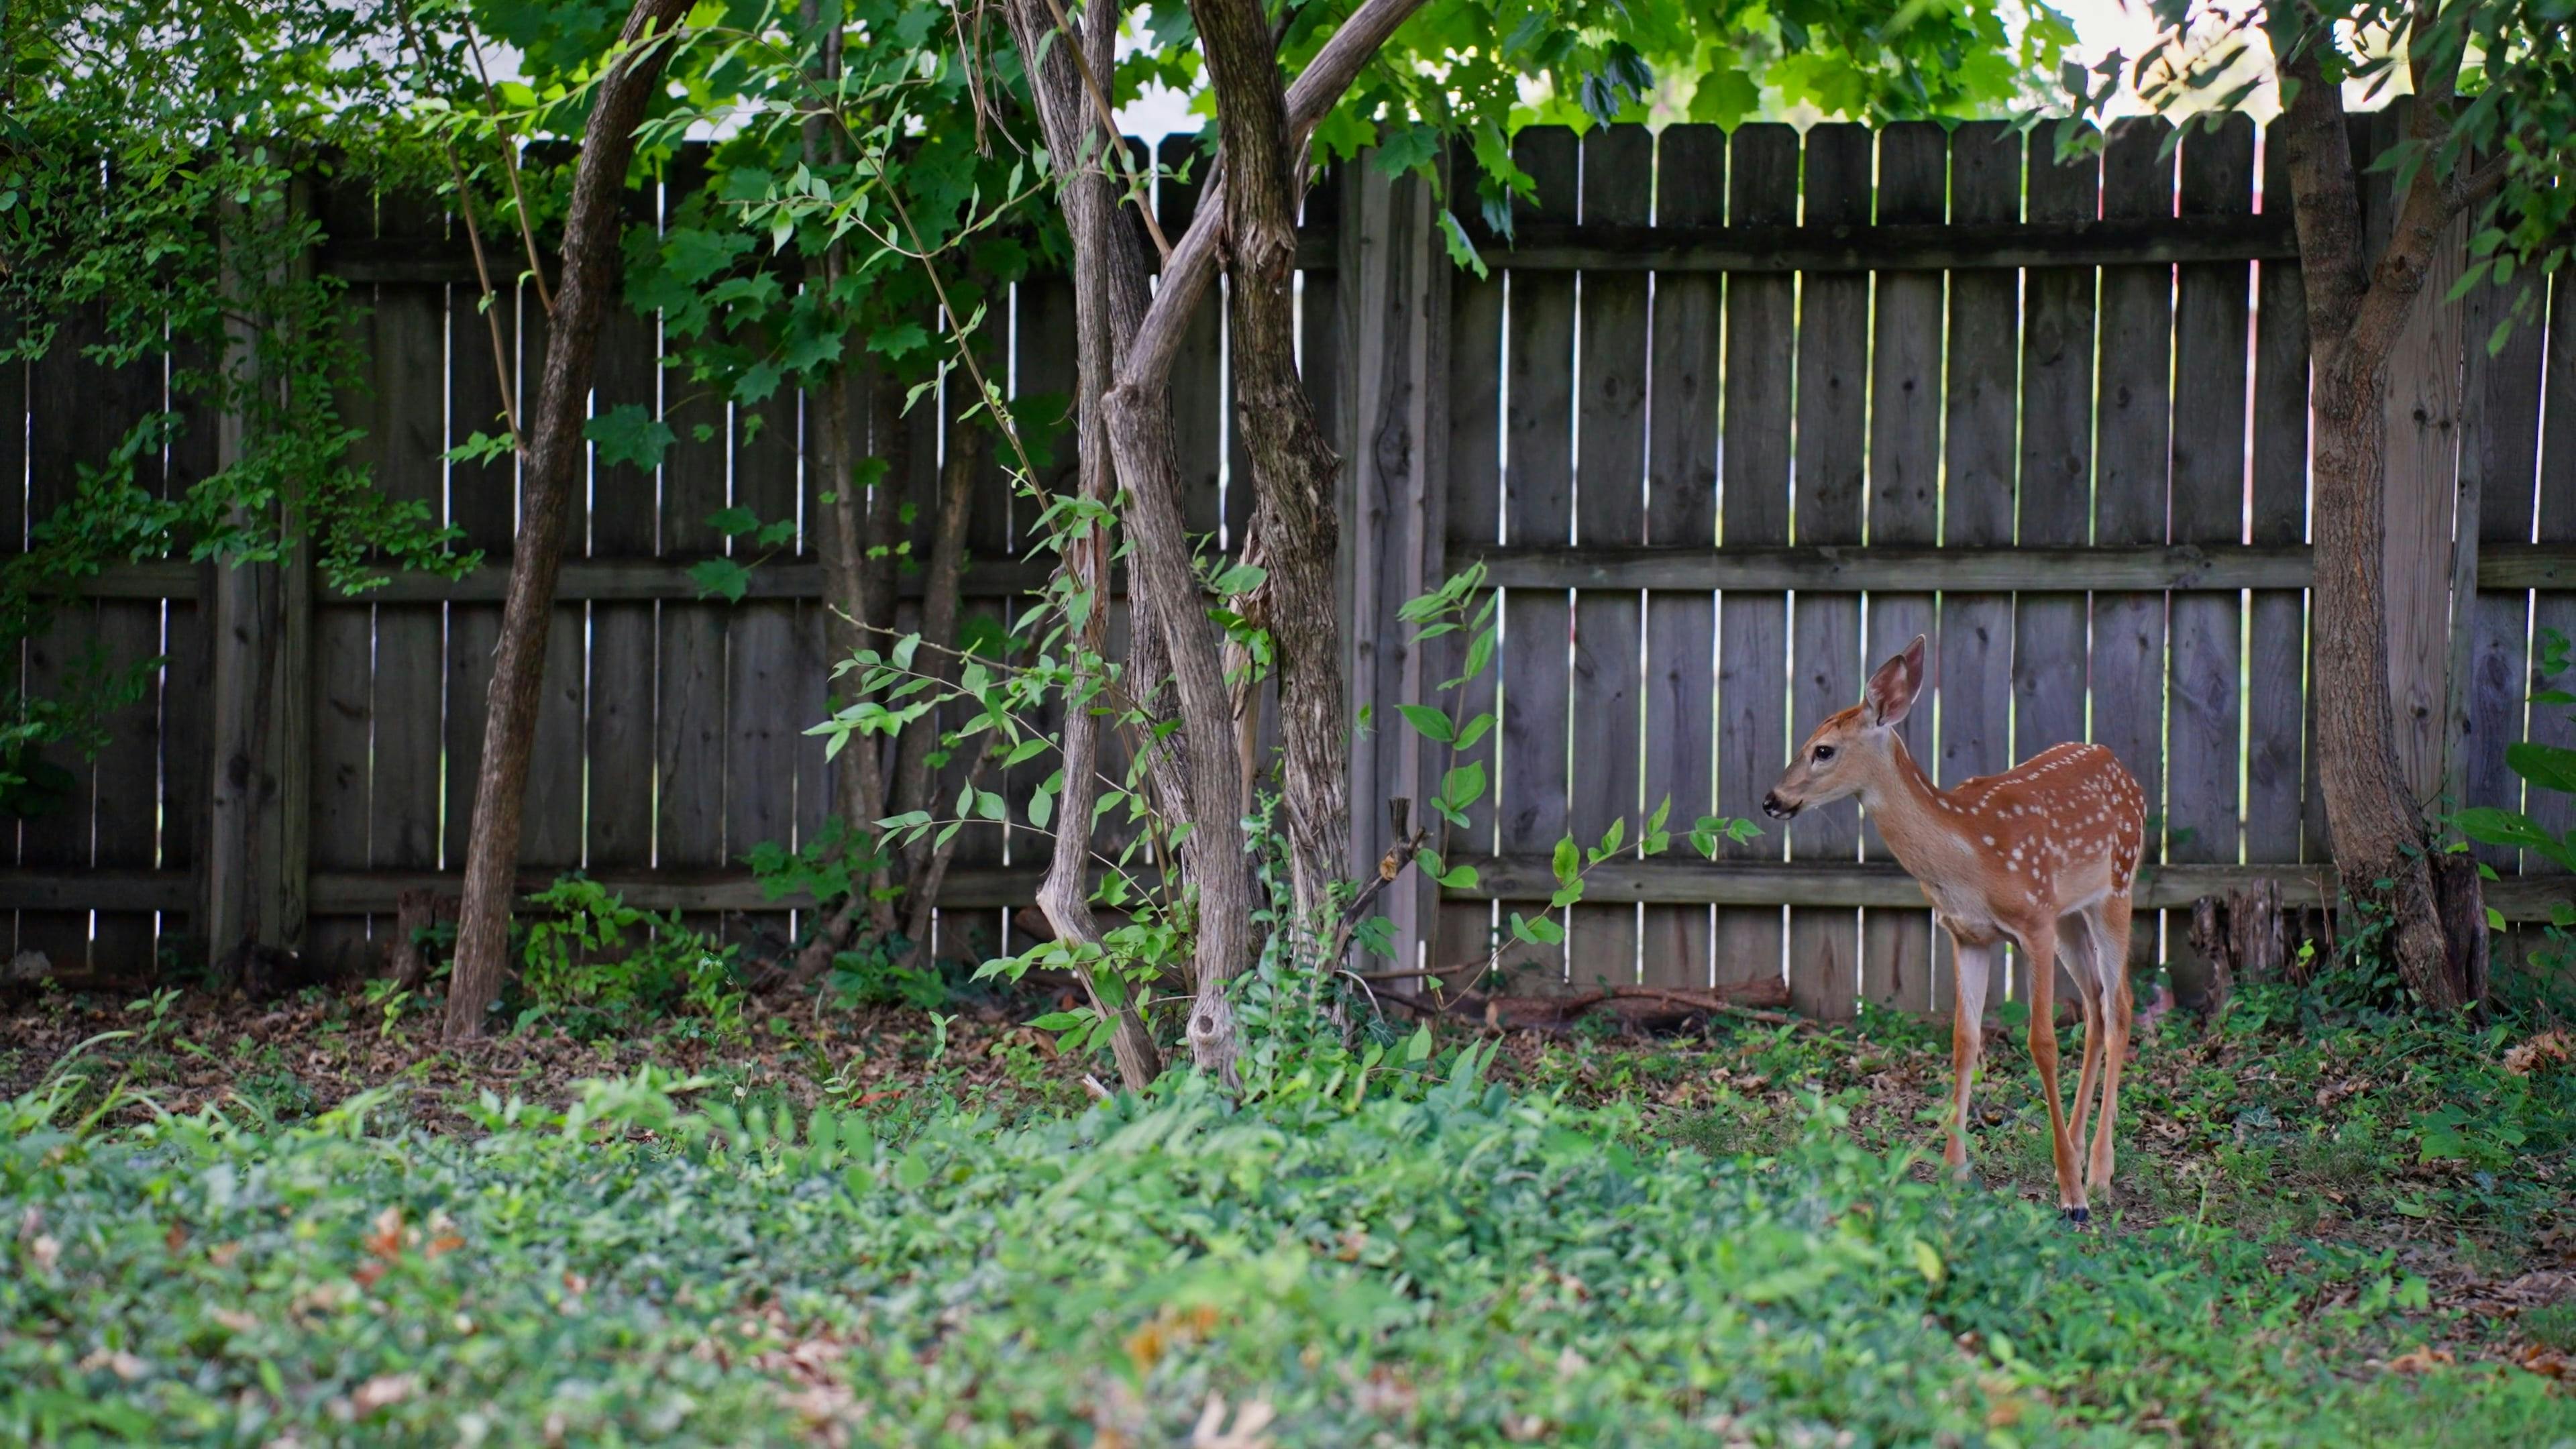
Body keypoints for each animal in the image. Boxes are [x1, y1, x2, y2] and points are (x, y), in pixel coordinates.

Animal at [1762, 635, 2146, 1222]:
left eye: (1823, 750)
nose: (1773, 800)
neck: (1969, 859)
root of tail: (2123, 768)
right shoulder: (1967, 935)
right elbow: (1965, 1041)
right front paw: (1952, 1173)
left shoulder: (2033, 922)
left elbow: (2041, 1041)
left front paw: (2071, 1198)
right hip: (2070, 917)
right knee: (2097, 1007)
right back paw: (2079, 1151)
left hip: (2116, 888)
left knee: (2121, 1005)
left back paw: (2098, 1176)